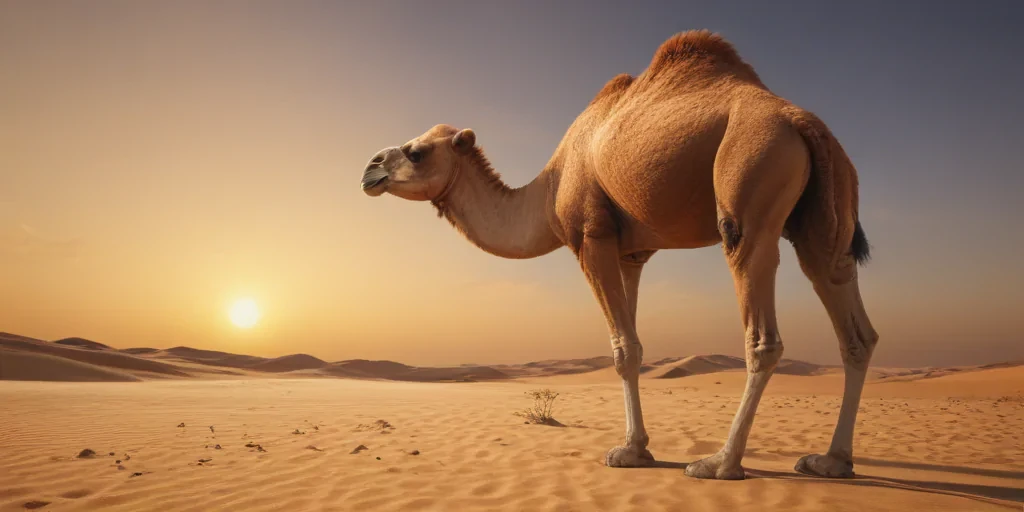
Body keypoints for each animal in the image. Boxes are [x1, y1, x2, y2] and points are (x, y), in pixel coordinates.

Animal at [358, 30, 878, 480]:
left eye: (416, 152)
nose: (369, 169)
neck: (547, 193)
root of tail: (802, 122)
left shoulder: (591, 236)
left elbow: (623, 349)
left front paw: (629, 452)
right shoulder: (630, 253)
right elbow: (635, 345)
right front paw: (635, 446)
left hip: (749, 183)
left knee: (762, 330)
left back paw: (720, 463)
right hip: (824, 217)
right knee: (853, 324)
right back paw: (831, 460)